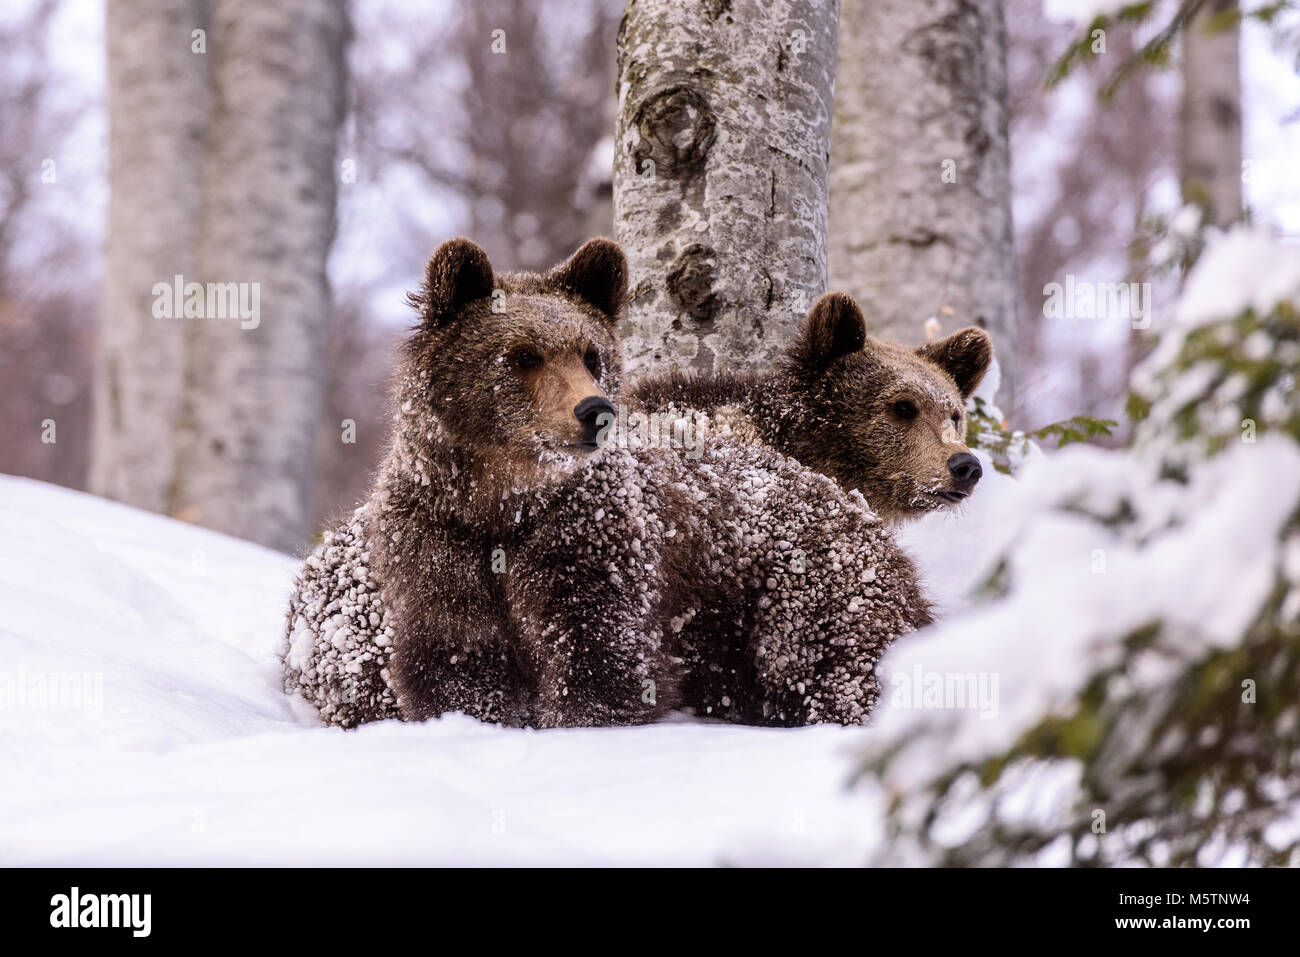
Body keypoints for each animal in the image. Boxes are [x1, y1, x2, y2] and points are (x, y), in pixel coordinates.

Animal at [281, 238, 933, 730]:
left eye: (591, 354)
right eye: (522, 355)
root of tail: (848, 503)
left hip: (805, 586)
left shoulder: (588, 544)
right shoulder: (439, 544)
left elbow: (601, 661)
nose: (593, 411)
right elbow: (457, 658)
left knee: (831, 664)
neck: (503, 501)